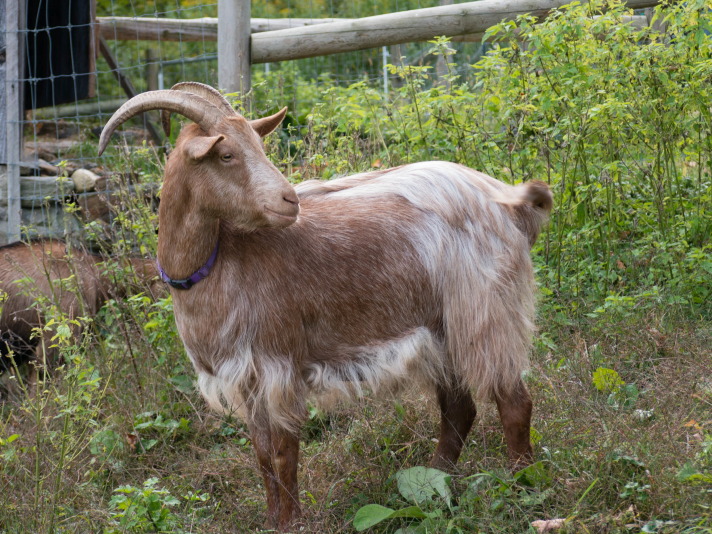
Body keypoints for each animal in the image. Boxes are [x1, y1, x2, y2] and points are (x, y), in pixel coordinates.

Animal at [99, 82, 553, 531]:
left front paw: (291, 523)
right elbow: (261, 454)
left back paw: (523, 489)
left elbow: (284, 452)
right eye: (226, 155)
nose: (289, 201)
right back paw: (433, 482)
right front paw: (272, 520)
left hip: (484, 312)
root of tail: (509, 201)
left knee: (513, 402)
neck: (220, 263)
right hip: (440, 327)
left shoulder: (278, 364)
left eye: (258, 147)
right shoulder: (246, 378)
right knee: (459, 409)